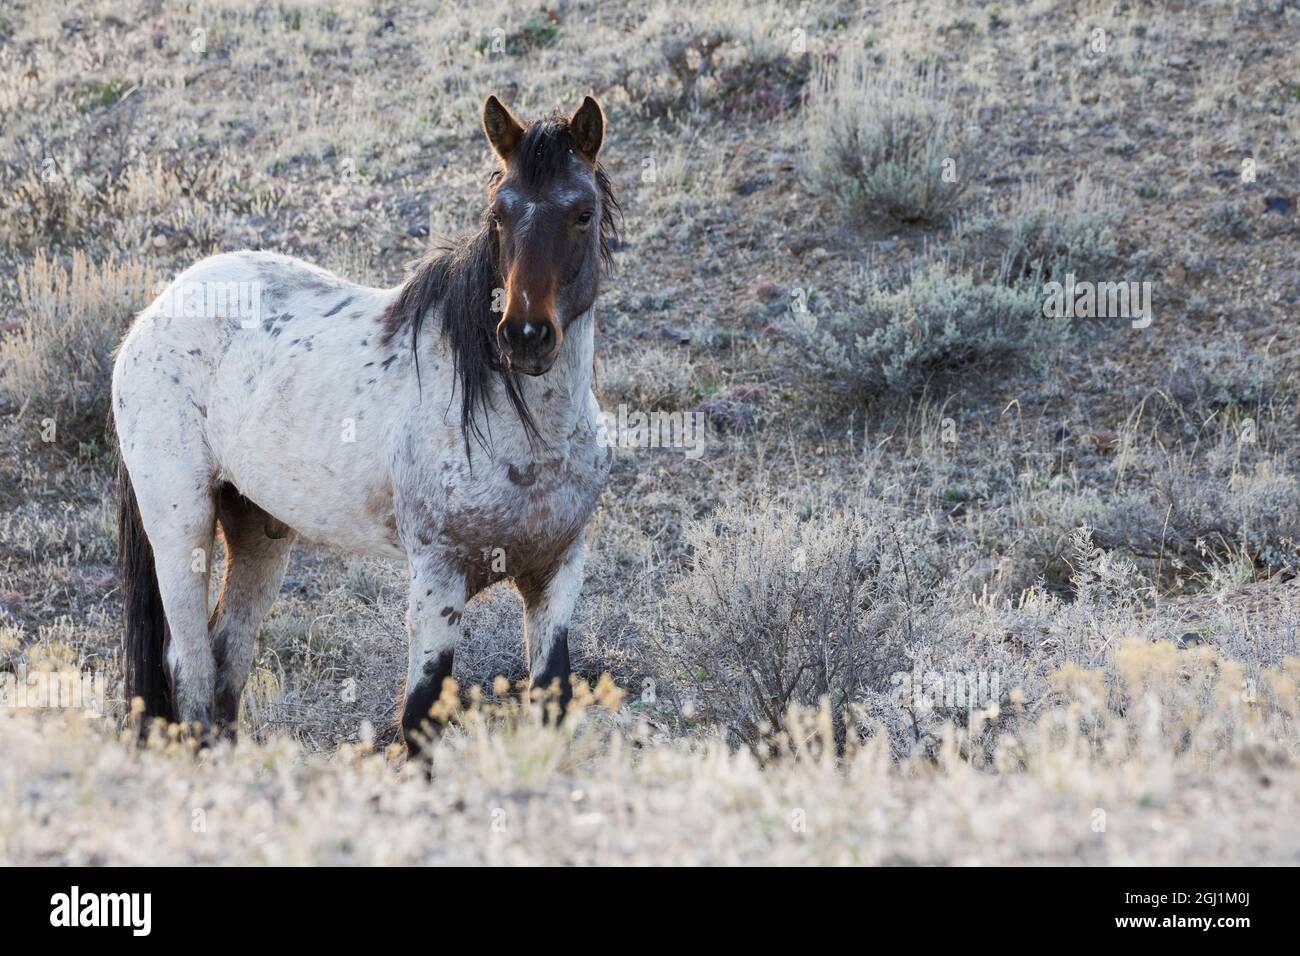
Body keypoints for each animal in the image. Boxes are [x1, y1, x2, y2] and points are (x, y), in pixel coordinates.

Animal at [113, 95, 620, 758]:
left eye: (582, 213)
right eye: (500, 215)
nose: (525, 336)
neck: (533, 439)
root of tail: (151, 315)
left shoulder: (556, 574)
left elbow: (553, 700)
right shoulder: (436, 580)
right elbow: (420, 720)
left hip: (259, 530)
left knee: (226, 659)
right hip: (181, 529)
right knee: (191, 667)